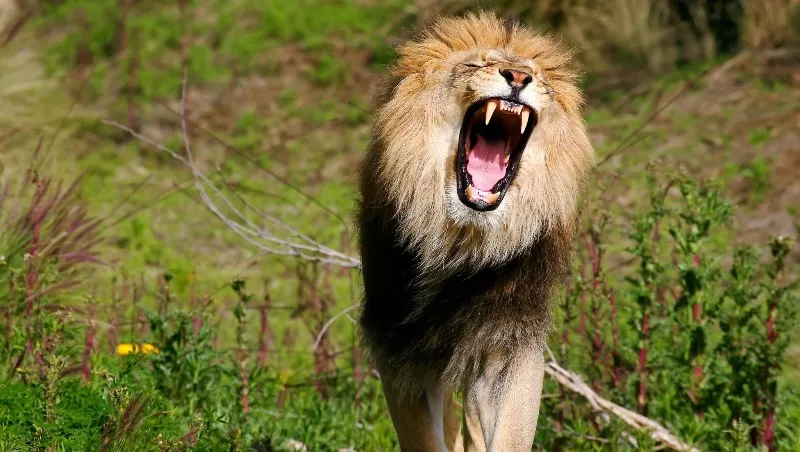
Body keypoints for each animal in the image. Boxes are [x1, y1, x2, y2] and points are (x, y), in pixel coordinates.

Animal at [357, 12, 594, 451]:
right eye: (476, 64)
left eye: (537, 75)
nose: (517, 76)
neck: (461, 242)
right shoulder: (398, 352)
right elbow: (424, 438)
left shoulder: (510, 344)